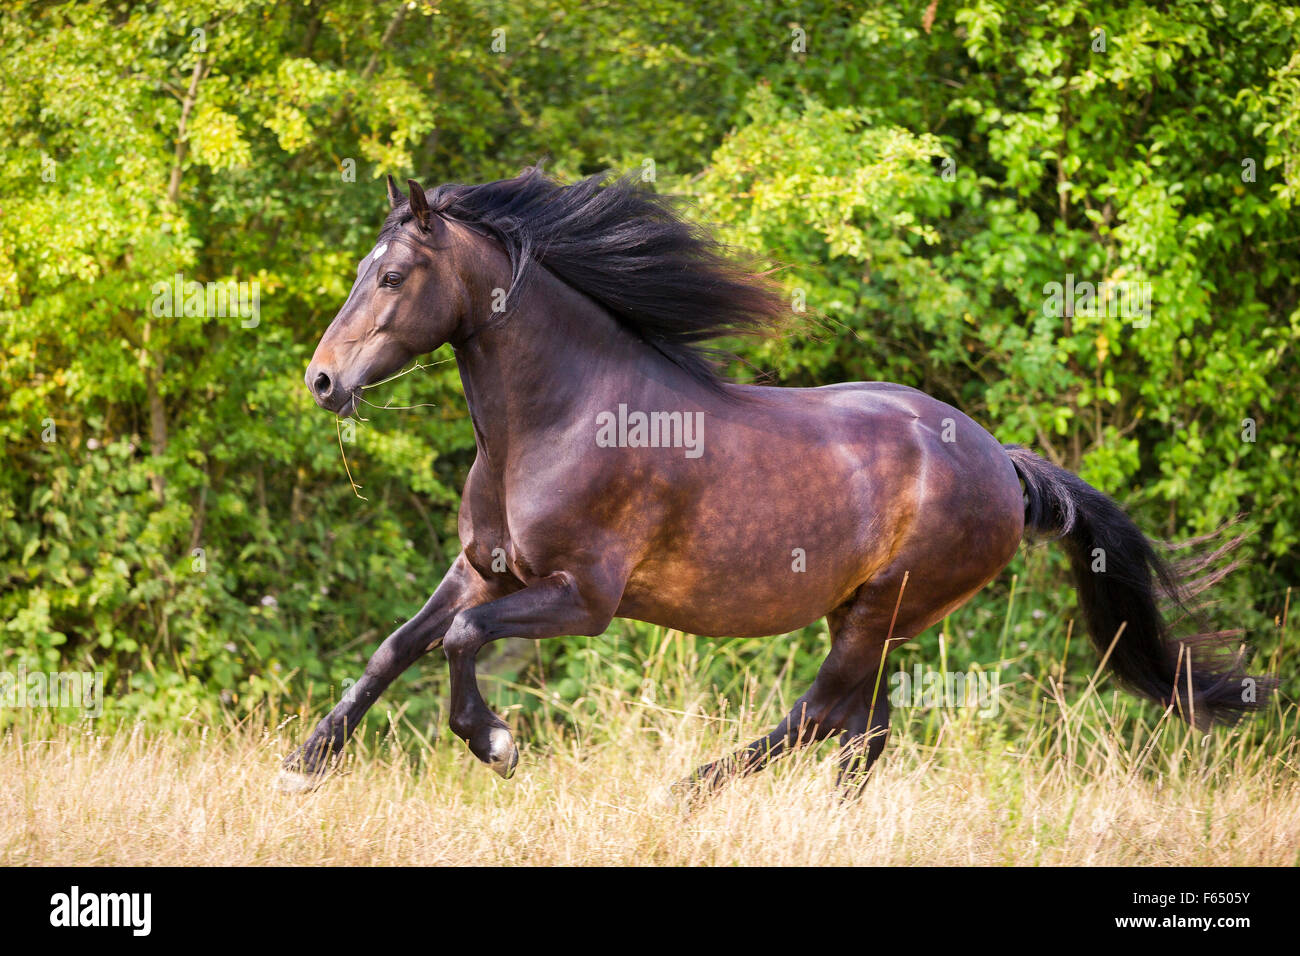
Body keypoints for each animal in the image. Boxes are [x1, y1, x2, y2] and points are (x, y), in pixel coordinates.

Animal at [279, 167, 1270, 795]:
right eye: (364, 269)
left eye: (394, 275)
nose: (322, 382)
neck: (557, 418)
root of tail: (1003, 462)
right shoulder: (483, 568)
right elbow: (397, 647)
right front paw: (304, 765)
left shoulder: (582, 597)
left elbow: (458, 643)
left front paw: (497, 744)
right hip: (869, 614)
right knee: (863, 728)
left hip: (886, 608)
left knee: (825, 712)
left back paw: (686, 791)